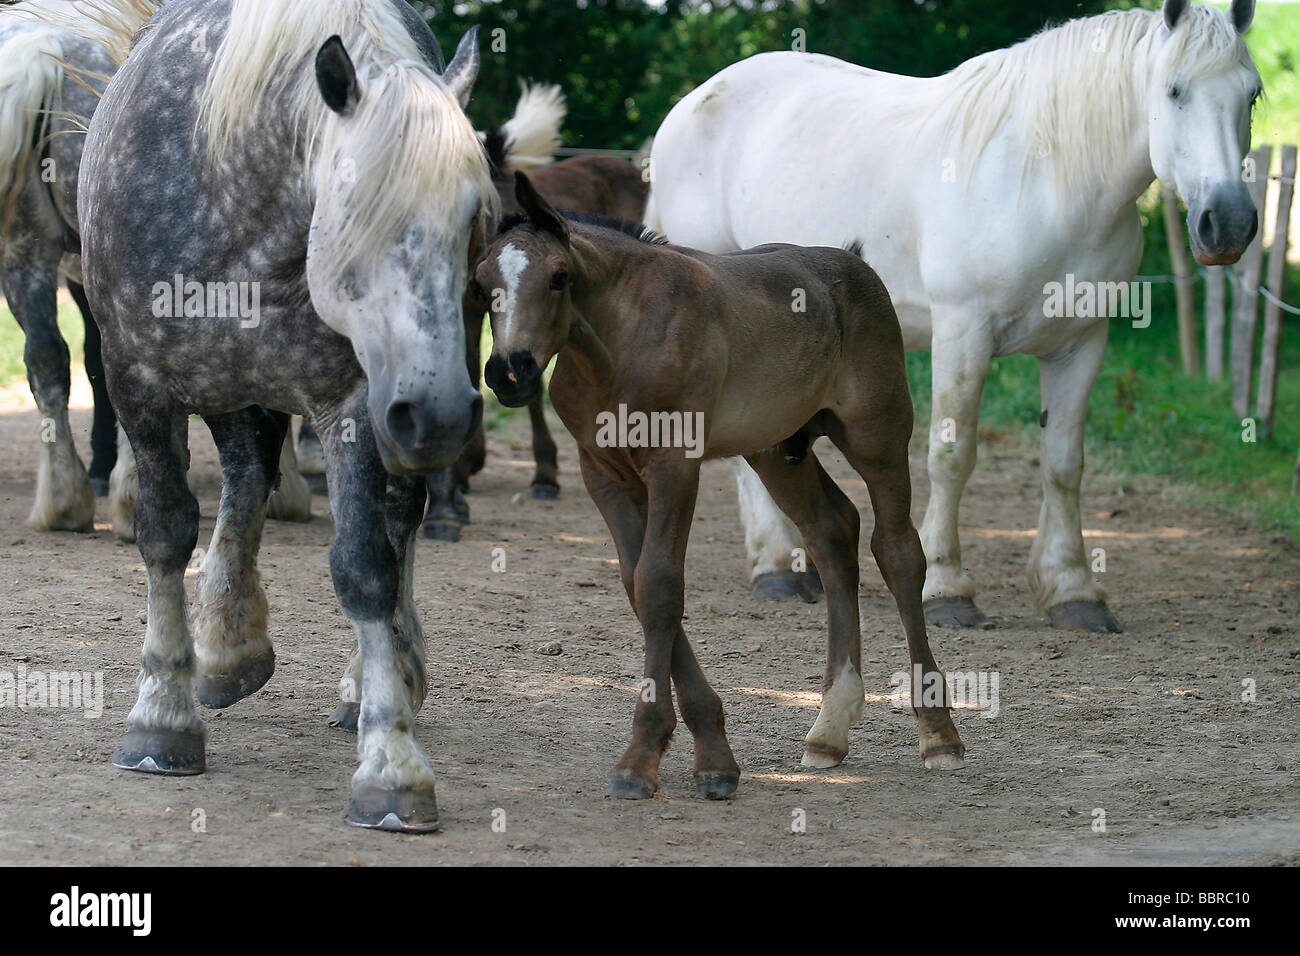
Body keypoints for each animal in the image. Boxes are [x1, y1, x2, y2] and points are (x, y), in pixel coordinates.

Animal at [78, 0, 498, 832]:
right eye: (356, 206)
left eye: (474, 214)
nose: (438, 413)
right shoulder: (138, 383)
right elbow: (165, 531)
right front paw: (161, 718)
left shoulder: (354, 403)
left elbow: (365, 564)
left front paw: (391, 764)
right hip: (230, 387)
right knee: (246, 477)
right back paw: (227, 648)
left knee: (396, 516)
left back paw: (376, 675)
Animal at [472, 172, 965, 799]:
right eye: (481, 282)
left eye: (559, 277)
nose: (508, 372)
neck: (623, 339)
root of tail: (854, 262)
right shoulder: (603, 476)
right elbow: (638, 586)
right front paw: (711, 752)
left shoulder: (674, 466)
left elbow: (659, 585)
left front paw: (641, 759)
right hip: (776, 453)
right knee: (832, 533)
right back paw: (830, 729)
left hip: (877, 437)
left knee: (898, 551)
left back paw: (939, 735)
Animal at [645, 0, 1262, 632]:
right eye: (1173, 90)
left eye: (1253, 94)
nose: (1229, 224)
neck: (1046, 179)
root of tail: (691, 105)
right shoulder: (963, 333)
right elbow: (950, 456)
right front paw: (946, 589)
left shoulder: (1081, 343)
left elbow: (1064, 465)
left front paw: (1073, 591)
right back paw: (775, 570)